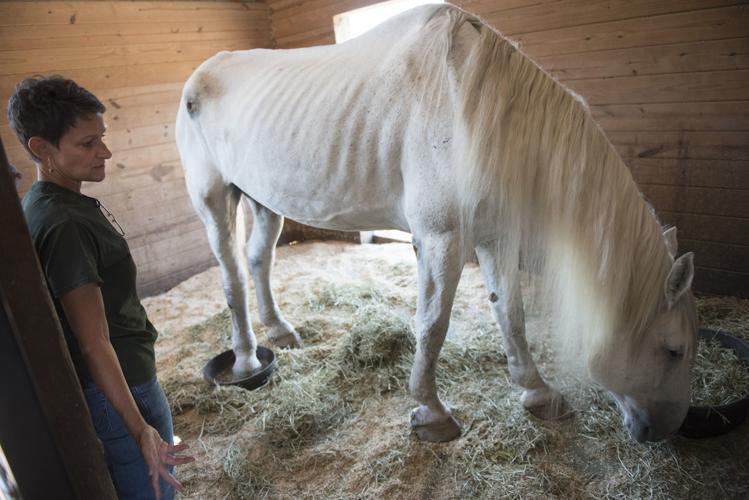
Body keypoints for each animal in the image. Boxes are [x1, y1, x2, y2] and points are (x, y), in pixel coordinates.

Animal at [175, 4, 698, 443]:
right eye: (673, 350)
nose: (667, 430)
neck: (481, 114)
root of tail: (199, 75)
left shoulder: (495, 237)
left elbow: (510, 315)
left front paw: (538, 394)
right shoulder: (441, 239)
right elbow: (432, 325)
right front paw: (431, 413)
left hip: (264, 201)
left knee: (258, 260)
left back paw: (281, 332)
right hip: (214, 200)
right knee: (232, 277)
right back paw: (247, 360)